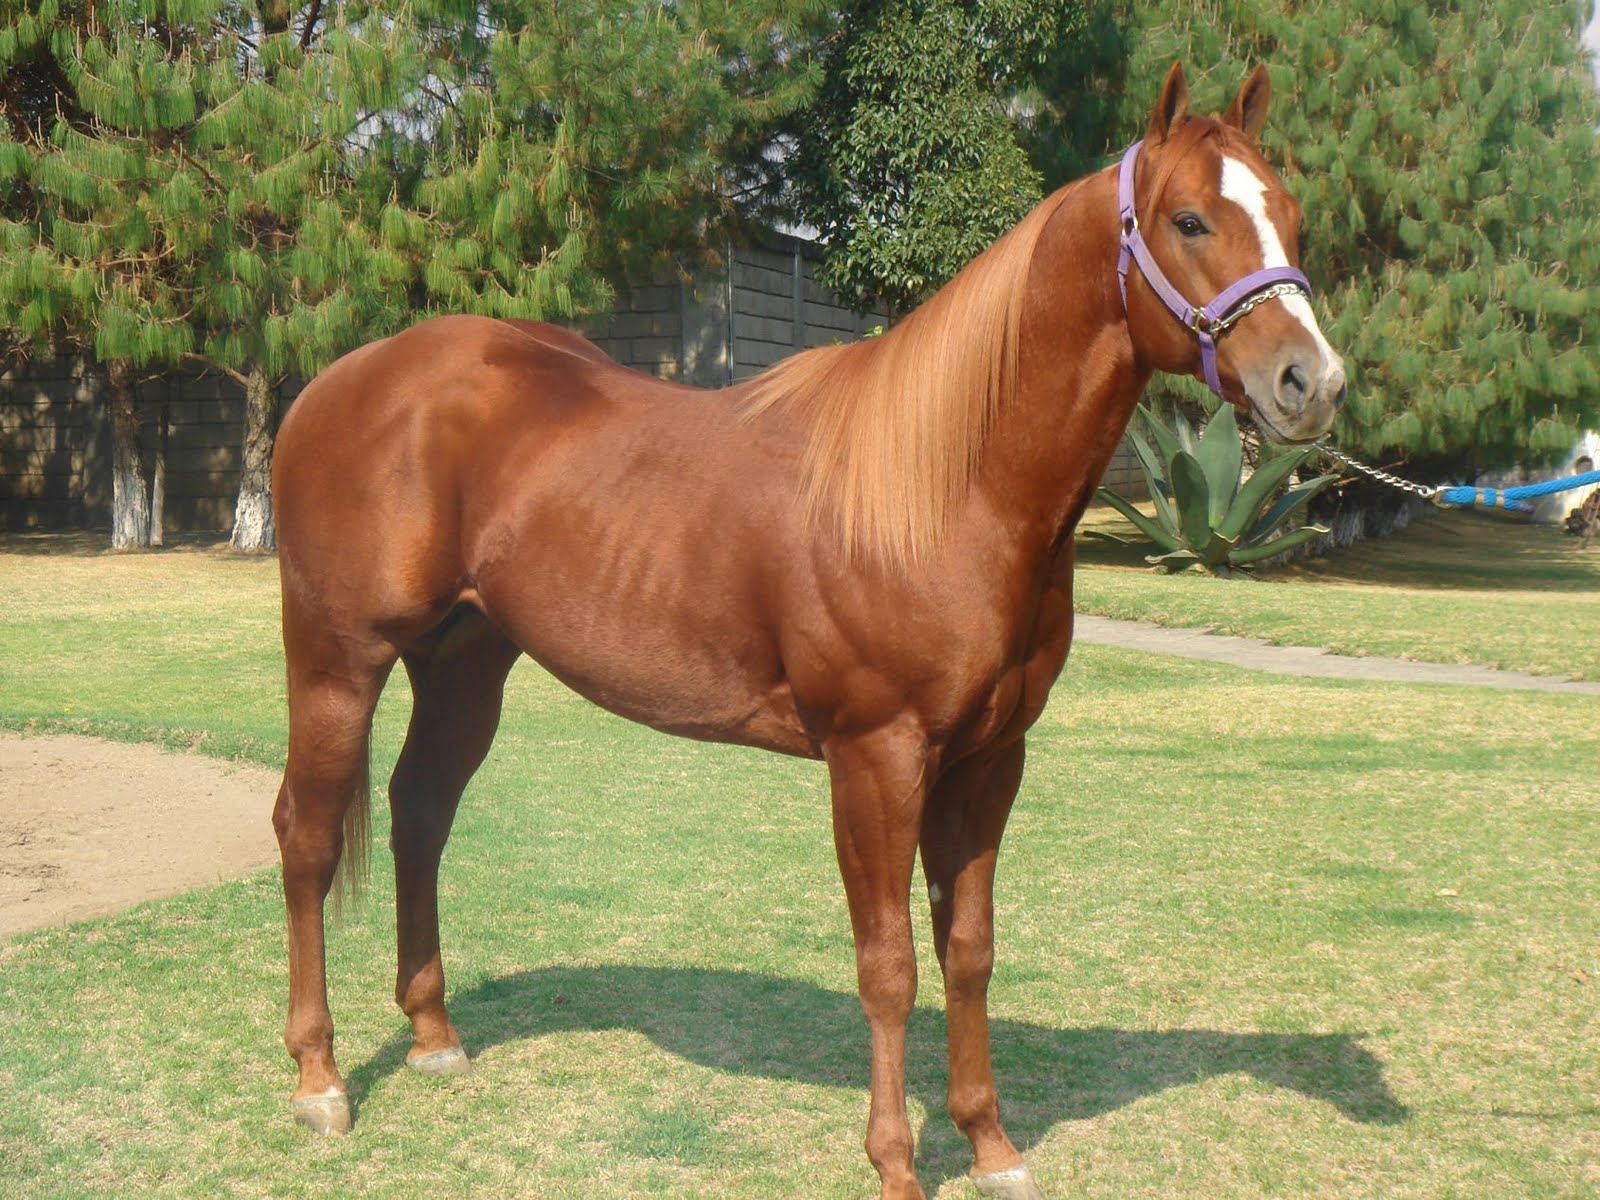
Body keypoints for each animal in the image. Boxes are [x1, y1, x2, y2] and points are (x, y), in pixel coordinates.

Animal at [269, 63, 1345, 1200]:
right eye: (1190, 220)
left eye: (1290, 216)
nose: (1311, 383)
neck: (943, 487)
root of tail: (342, 381)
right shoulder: (876, 757)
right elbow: (889, 966)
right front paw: (896, 1164)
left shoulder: (989, 761)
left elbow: (968, 948)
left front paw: (991, 1145)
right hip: (338, 660)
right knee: (306, 834)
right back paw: (320, 1080)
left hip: (464, 663)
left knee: (419, 811)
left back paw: (432, 1034)